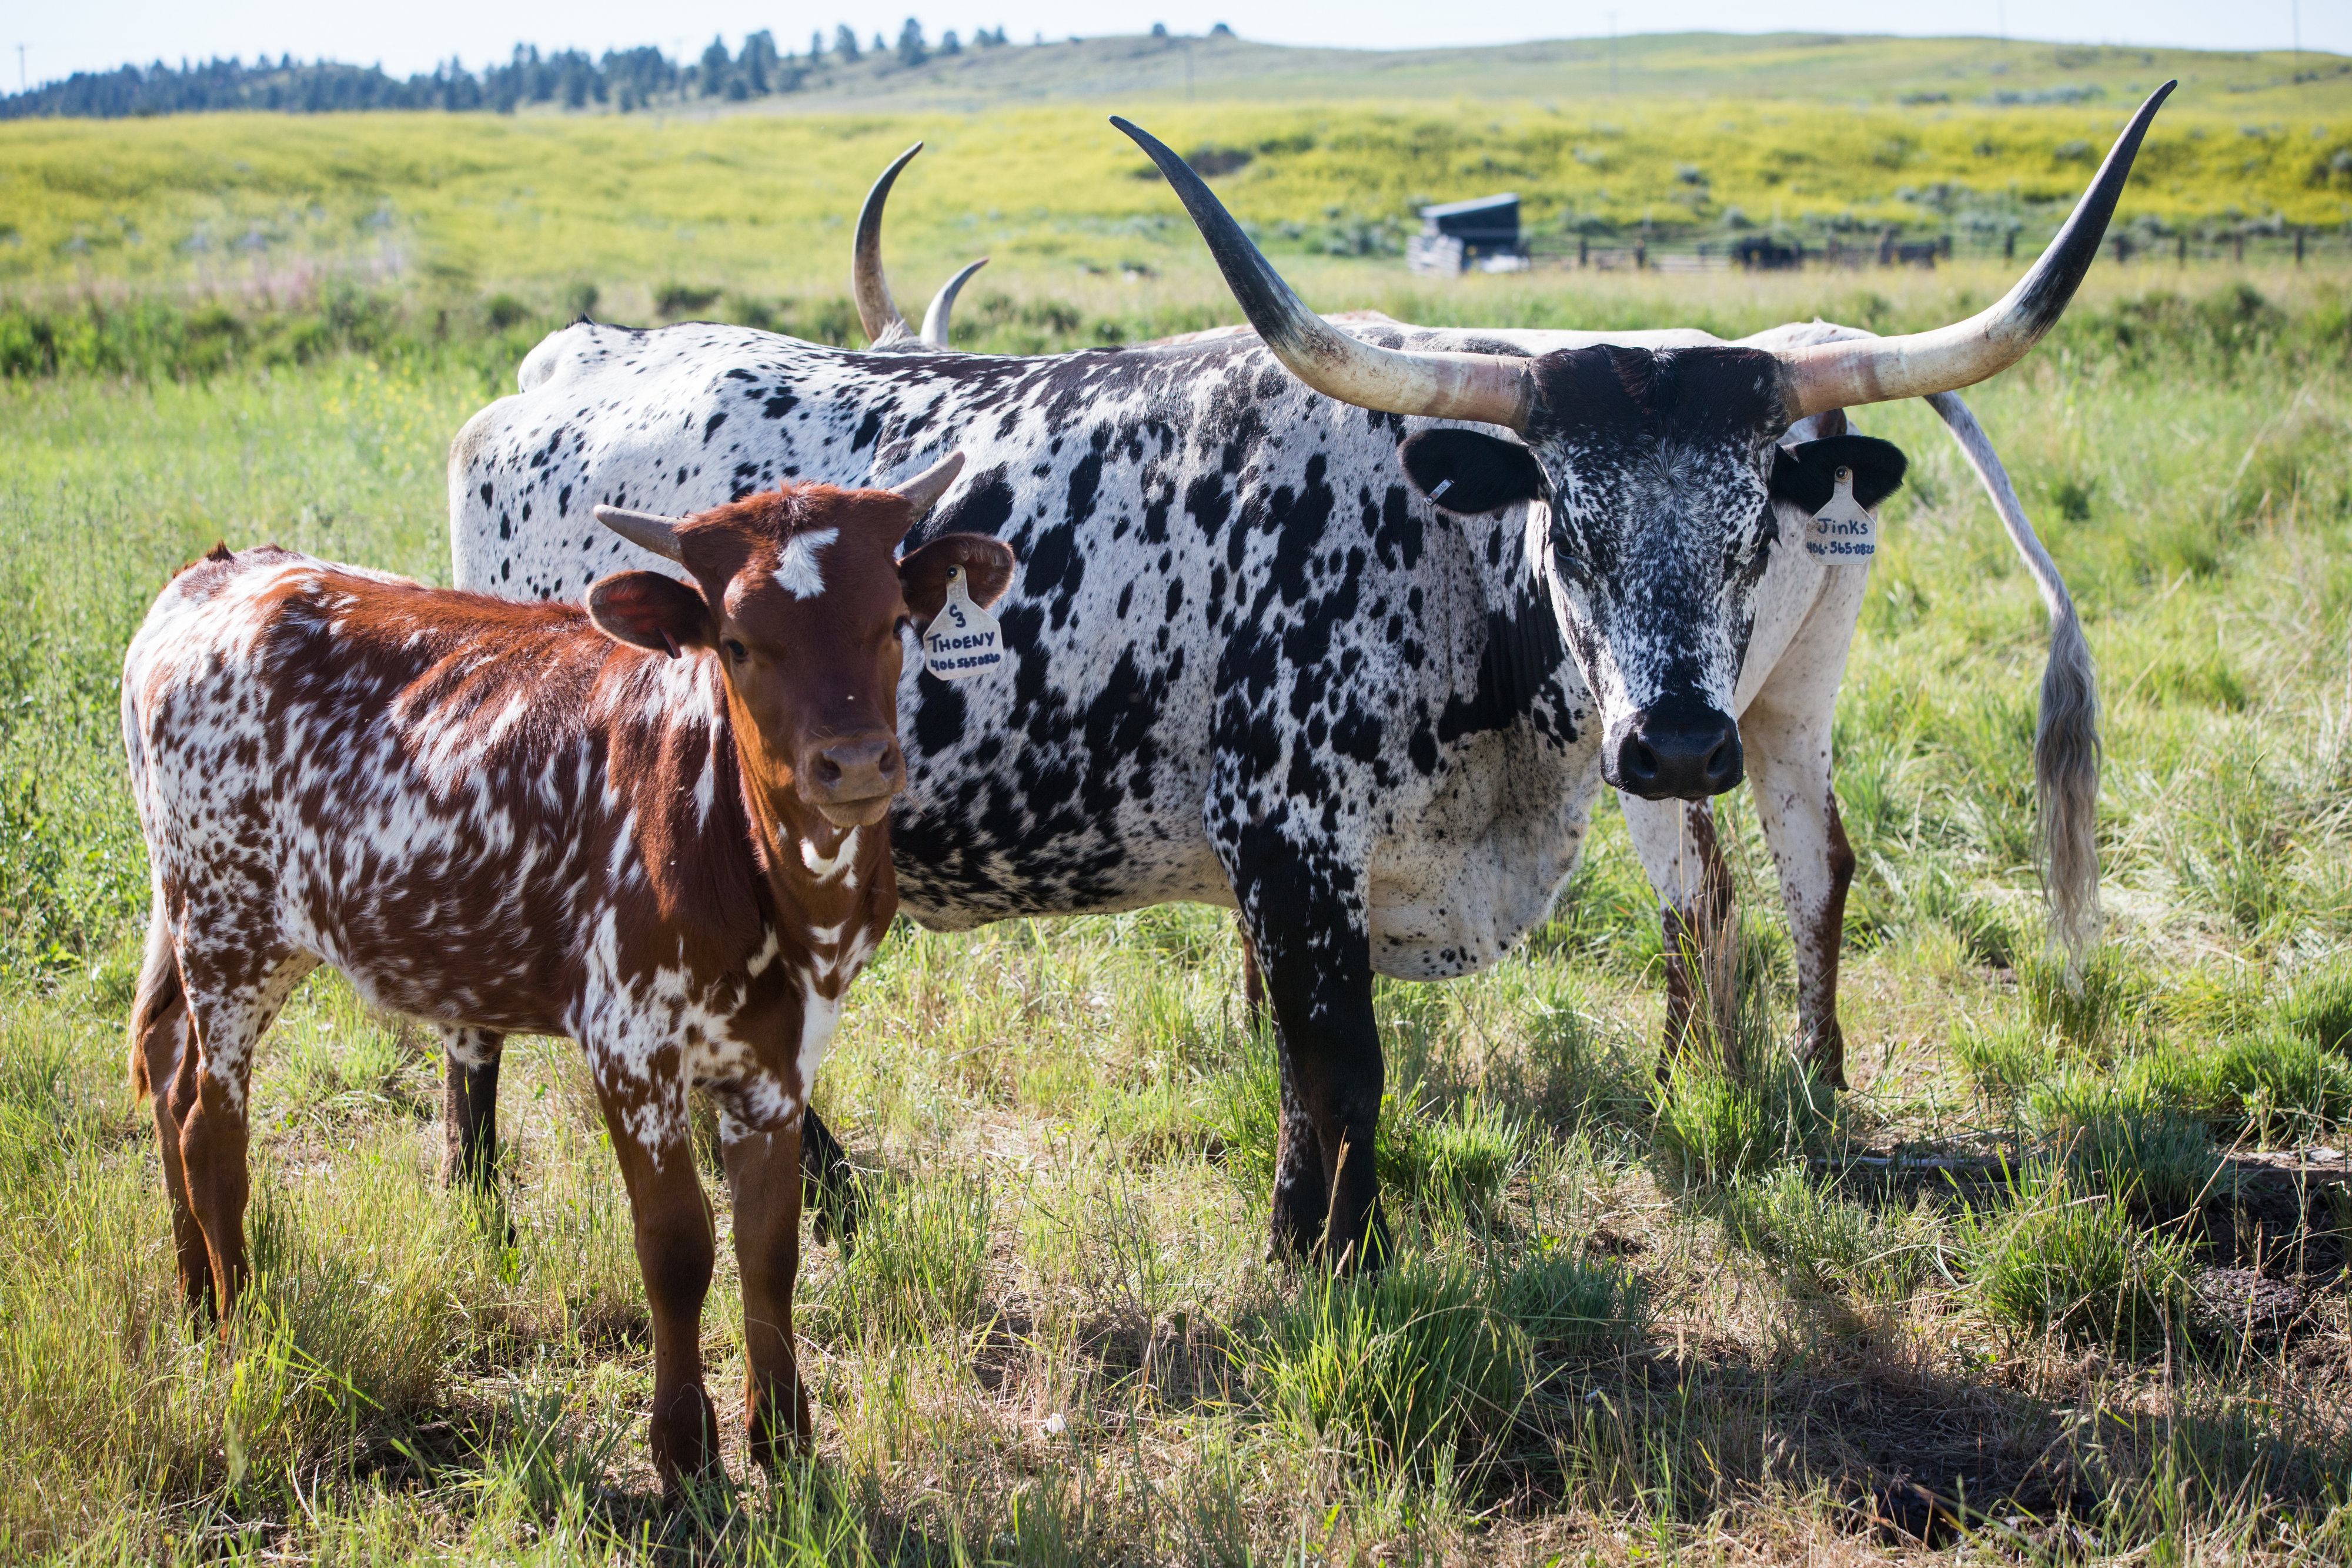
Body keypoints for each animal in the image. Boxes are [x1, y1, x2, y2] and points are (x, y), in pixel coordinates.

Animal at [120, 461, 1014, 1489]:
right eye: (738, 643)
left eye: (895, 622)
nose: (857, 762)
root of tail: (218, 574)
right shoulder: (631, 1046)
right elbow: (679, 1246)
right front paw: (686, 1452)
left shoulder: (782, 1059)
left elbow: (771, 1246)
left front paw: (785, 1442)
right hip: (228, 927)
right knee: (209, 1130)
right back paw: (246, 1333)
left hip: (226, 931)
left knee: (168, 1071)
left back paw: (194, 1302)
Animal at [445, 85, 2168, 1270]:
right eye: (1569, 516)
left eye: (1757, 518)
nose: (1679, 745)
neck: (1438, 557)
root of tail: (545, 389)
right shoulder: (1287, 842)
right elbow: (1338, 1068)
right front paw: (1323, 1252)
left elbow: (1318, 1062)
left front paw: (1339, 1241)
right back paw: (485, 1195)